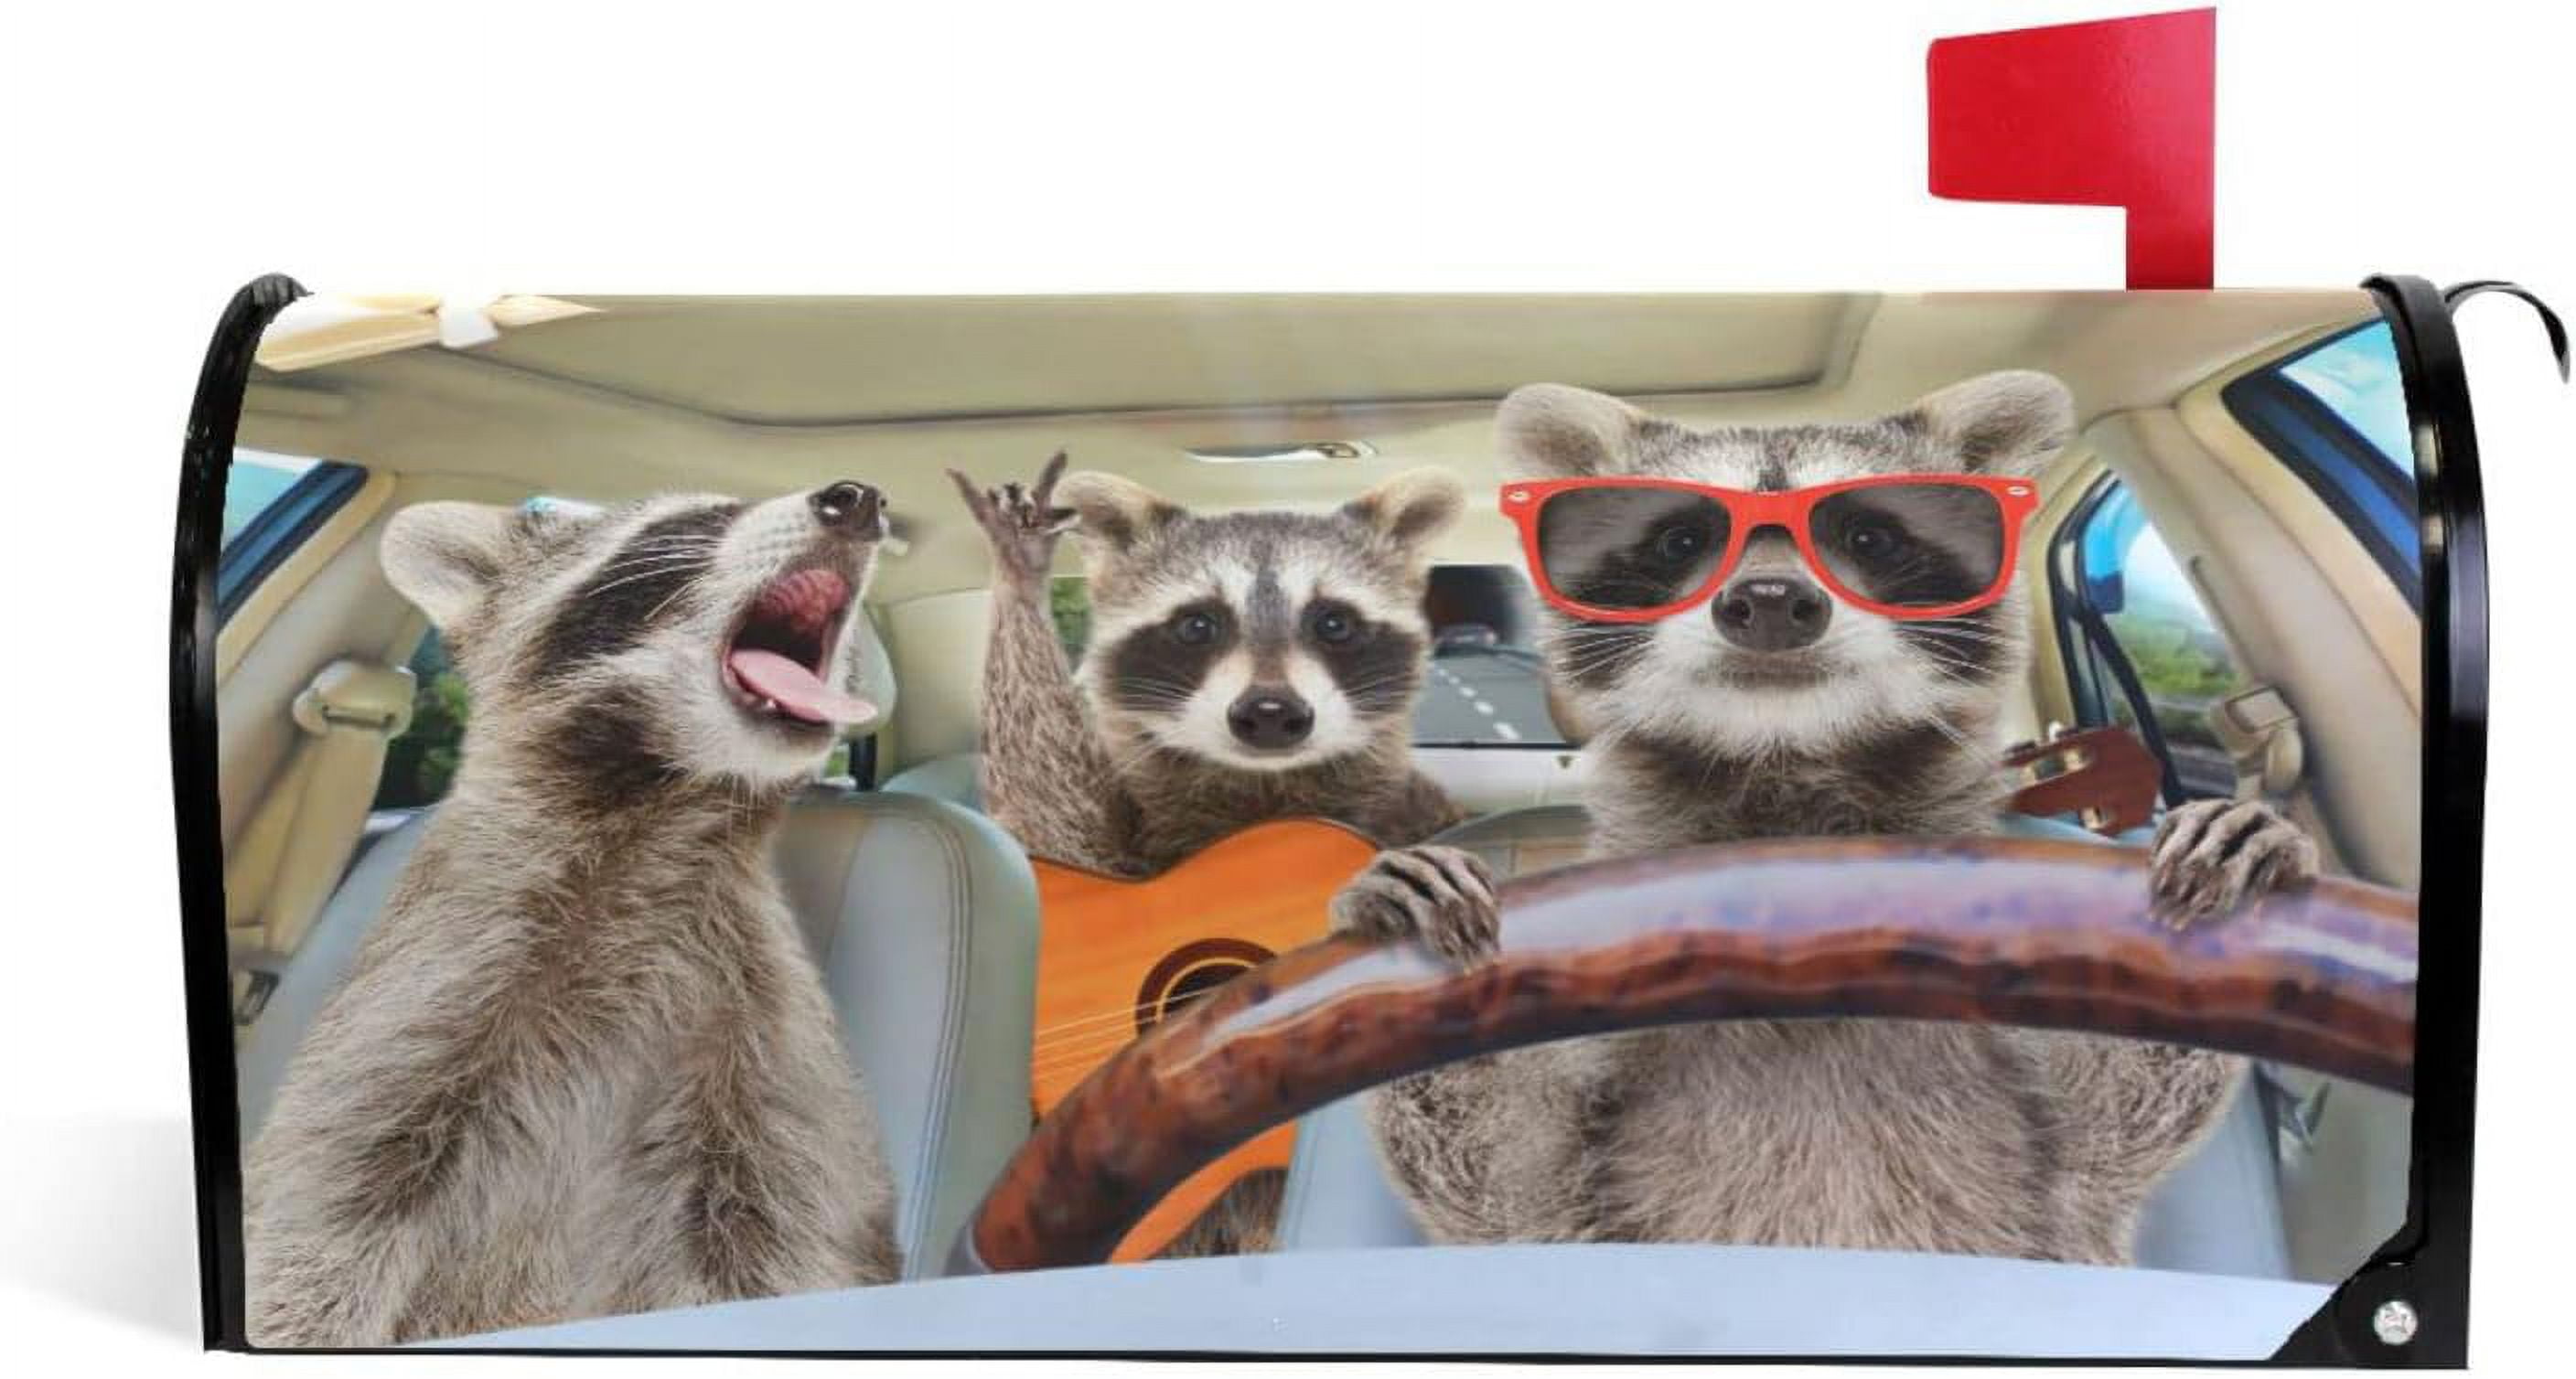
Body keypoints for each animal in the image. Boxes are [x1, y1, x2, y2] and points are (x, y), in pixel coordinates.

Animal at [245, 482, 902, 1346]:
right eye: (701, 519)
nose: (857, 499)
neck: (669, 796)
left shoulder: (764, 1045)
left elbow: (782, 1236)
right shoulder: (431, 981)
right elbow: (318, 1215)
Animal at [948, 453, 1469, 1253]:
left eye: (1333, 622)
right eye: (1198, 624)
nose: (1271, 713)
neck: (1265, 787)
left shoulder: (1421, 813)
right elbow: (1051, 819)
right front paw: (1019, 569)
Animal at [1334, 376, 2320, 1263]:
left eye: (1869, 534)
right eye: (1683, 536)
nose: (1771, 604)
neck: (1789, 776)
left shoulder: (2052, 1142)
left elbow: (2114, 1112)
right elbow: (1499, 1172)